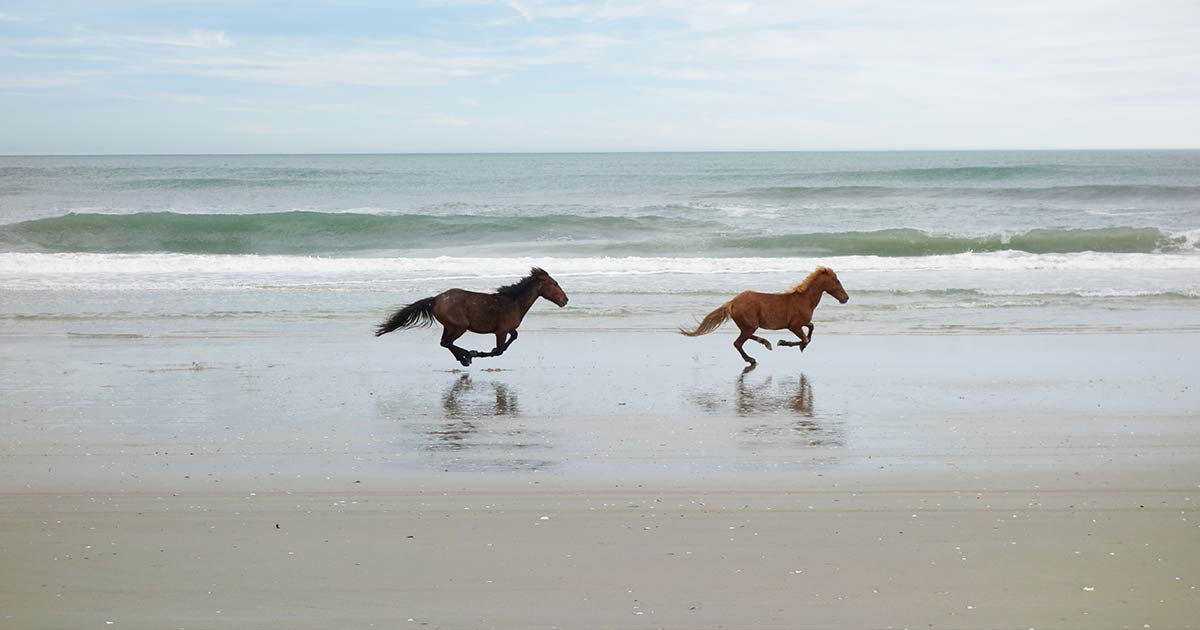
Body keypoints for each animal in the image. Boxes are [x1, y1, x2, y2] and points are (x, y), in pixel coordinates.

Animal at [375, 267, 568, 366]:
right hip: (459, 326)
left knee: (445, 343)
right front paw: (480, 353)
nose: (565, 300)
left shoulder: (508, 329)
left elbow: (512, 338)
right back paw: (467, 356)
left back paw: (464, 358)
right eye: (554, 283)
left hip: (450, 326)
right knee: (447, 343)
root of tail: (435, 299)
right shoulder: (501, 331)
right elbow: (499, 350)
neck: (513, 302)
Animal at [679, 266, 849, 366]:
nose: (846, 298)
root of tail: (732, 302)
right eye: (837, 281)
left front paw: (795, 344)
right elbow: (805, 338)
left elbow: (811, 328)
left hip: (749, 326)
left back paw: (765, 343)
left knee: (745, 339)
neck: (804, 300)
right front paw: (785, 342)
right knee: (738, 343)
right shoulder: (793, 326)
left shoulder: (802, 323)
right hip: (750, 326)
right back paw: (752, 359)